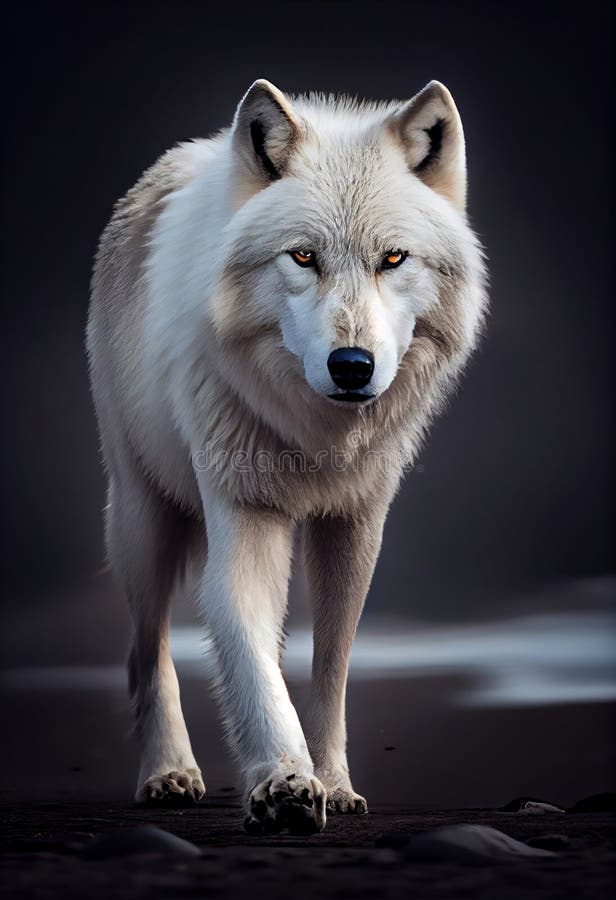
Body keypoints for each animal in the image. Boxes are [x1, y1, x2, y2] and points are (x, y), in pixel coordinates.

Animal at [87, 78, 487, 834]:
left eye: (393, 259)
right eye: (303, 257)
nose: (352, 365)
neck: (316, 436)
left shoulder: (356, 524)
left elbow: (328, 664)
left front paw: (330, 780)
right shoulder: (244, 515)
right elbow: (245, 650)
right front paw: (283, 781)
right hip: (142, 518)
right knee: (146, 650)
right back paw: (168, 772)